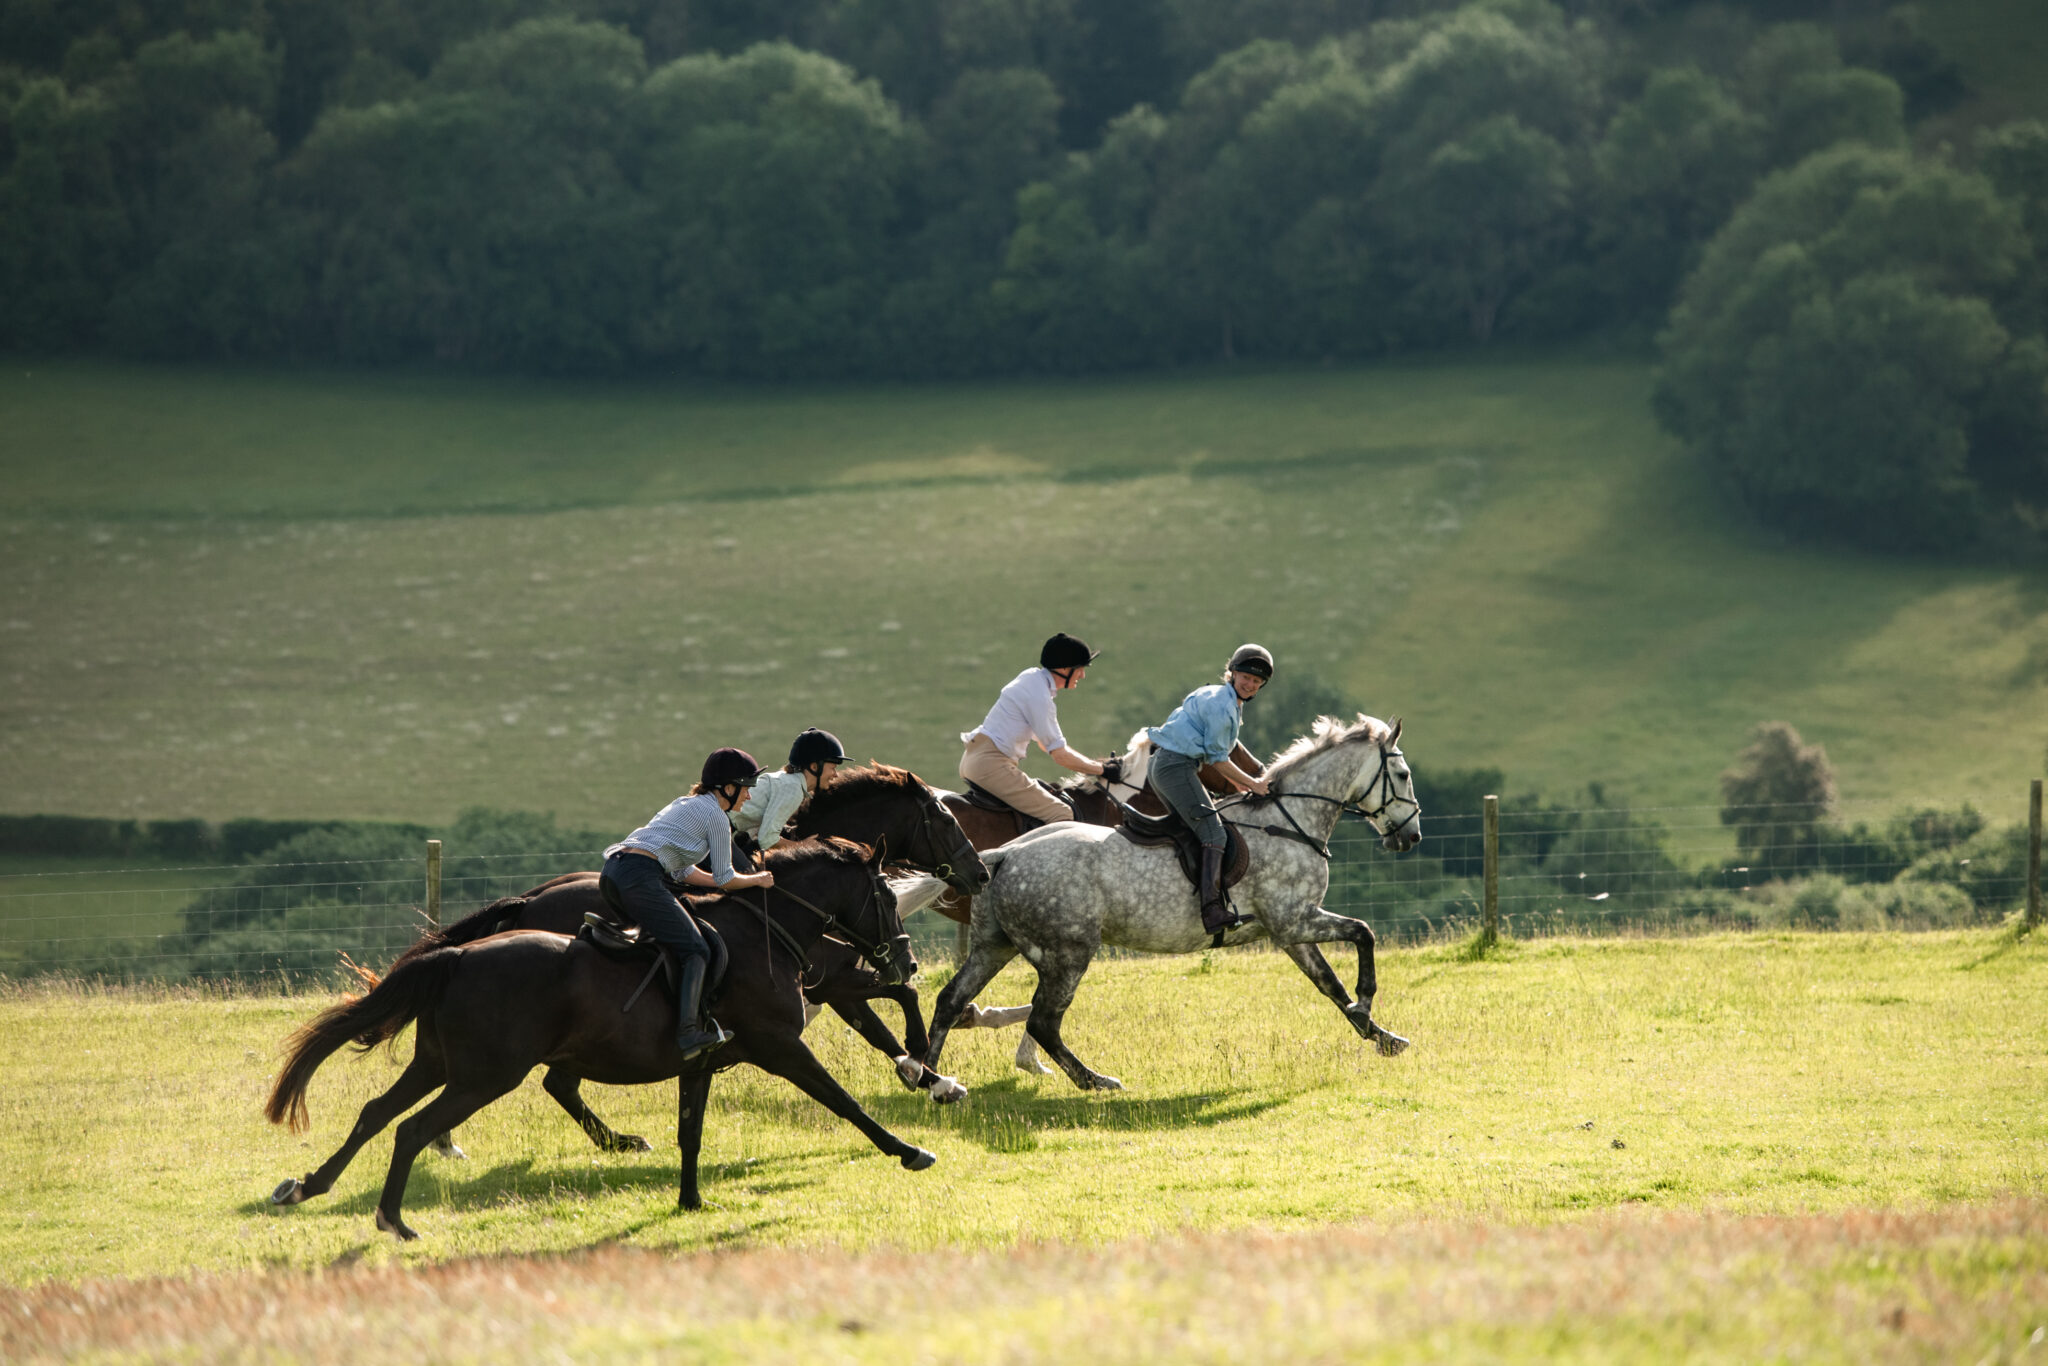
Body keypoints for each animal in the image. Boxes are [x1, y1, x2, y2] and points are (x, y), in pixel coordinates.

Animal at [264, 838, 935, 1239]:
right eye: (885, 894)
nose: (904, 959)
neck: (766, 932)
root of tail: (457, 957)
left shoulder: (704, 1061)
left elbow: (691, 1132)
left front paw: (689, 1201)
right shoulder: (780, 1047)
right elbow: (843, 1100)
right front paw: (908, 1148)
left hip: (437, 1064)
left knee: (376, 1113)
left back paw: (308, 1186)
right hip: (484, 1076)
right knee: (413, 1128)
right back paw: (393, 1219)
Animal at [904, 715, 1421, 1095]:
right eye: (1402, 775)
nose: (1412, 836)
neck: (1288, 821)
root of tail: (1004, 854)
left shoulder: (1290, 932)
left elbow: (1330, 984)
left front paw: (1381, 1036)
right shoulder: (1295, 921)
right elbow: (1363, 933)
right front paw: (1367, 1003)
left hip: (996, 946)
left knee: (952, 1000)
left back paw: (932, 1079)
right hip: (1067, 952)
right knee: (1043, 1019)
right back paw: (1095, 1081)